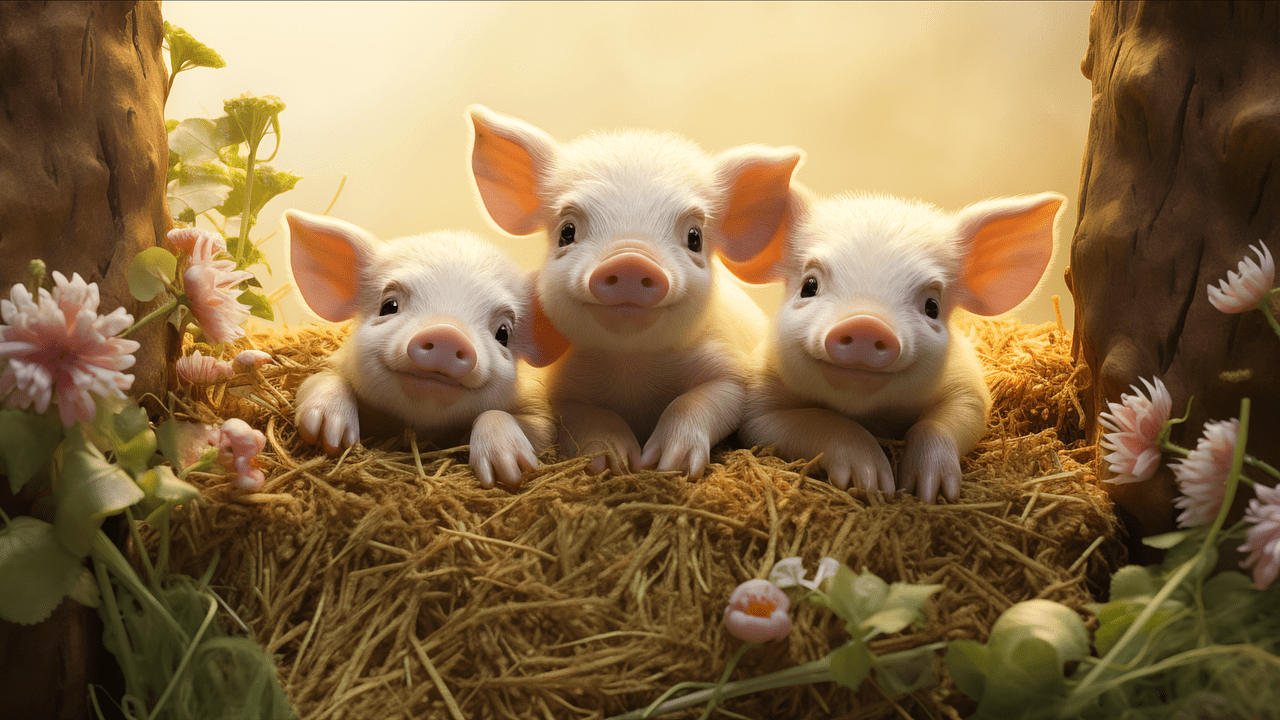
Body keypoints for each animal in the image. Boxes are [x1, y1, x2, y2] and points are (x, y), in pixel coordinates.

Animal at [284, 209, 555, 488]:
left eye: (503, 333)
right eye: (389, 305)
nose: (448, 333)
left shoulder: (539, 413)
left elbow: (523, 424)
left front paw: (510, 475)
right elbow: (316, 381)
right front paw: (329, 438)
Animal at [466, 105, 802, 478]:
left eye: (695, 237)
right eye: (567, 231)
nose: (630, 260)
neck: (632, 367)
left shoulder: (731, 372)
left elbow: (699, 400)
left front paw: (666, 465)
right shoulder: (561, 390)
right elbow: (590, 416)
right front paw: (616, 463)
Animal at [727, 190, 1065, 503]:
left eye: (932, 306)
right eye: (809, 286)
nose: (865, 324)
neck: (872, 415)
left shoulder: (968, 388)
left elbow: (942, 422)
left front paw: (929, 494)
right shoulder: (757, 410)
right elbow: (817, 421)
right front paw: (875, 486)